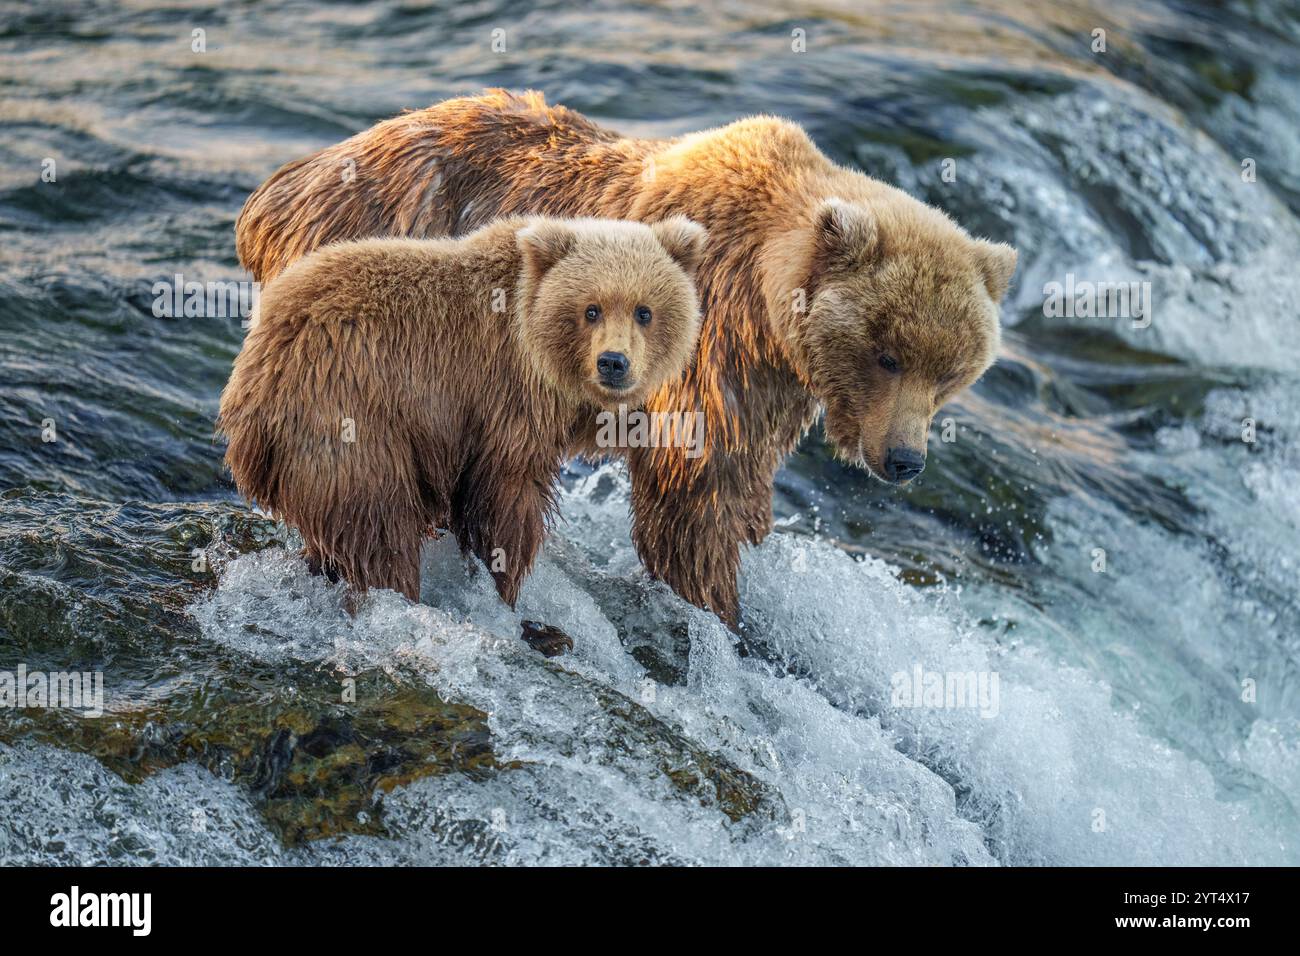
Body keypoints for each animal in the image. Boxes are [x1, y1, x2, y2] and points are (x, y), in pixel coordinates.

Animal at [218, 214, 707, 608]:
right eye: (591, 309)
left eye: (644, 310)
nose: (613, 362)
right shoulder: (504, 398)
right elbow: (503, 500)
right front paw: (506, 585)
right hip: (348, 415)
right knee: (379, 525)